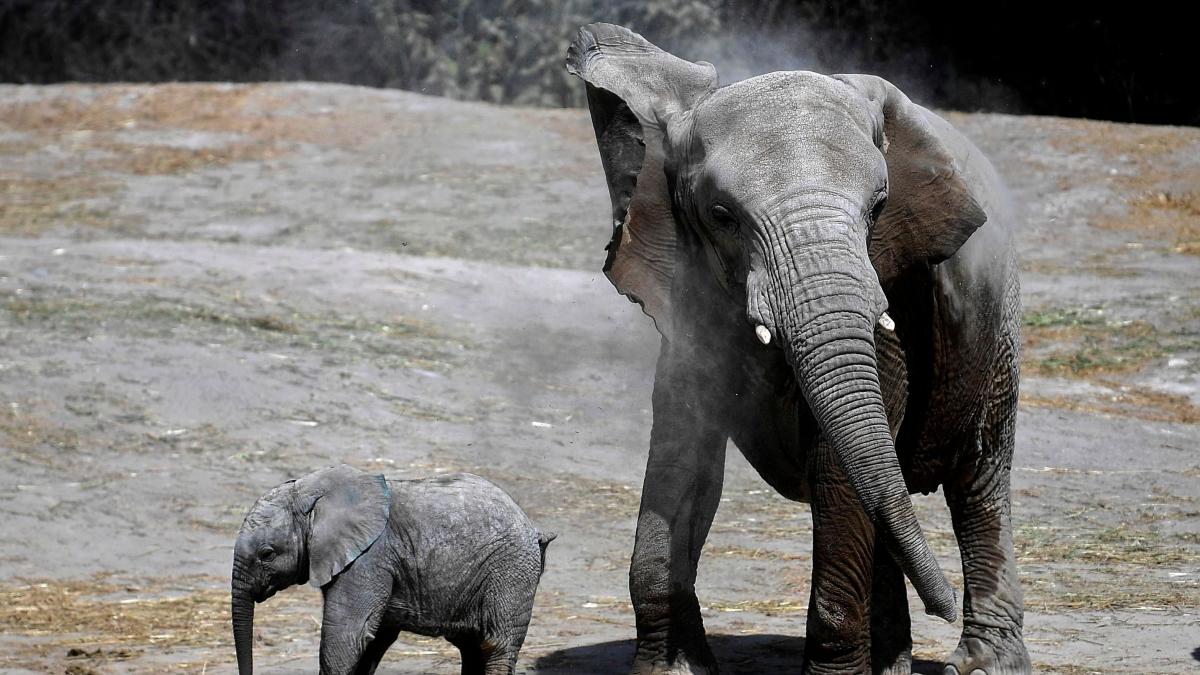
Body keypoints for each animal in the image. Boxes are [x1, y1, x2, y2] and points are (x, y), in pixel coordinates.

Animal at [231, 465, 555, 675]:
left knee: (495, 647)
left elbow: (348, 636)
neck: (315, 493)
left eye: (267, 554)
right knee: (471, 648)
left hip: (511, 573)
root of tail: (533, 528)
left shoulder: (369, 559)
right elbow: (372, 640)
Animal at [566, 23, 1028, 675]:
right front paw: (671, 669)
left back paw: (983, 661)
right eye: (721, 215)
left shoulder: (894, 293)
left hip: (996, 331)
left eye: (879, 208)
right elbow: (683, 450)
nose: (941, 609)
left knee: (978, 478)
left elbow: (839, 465)